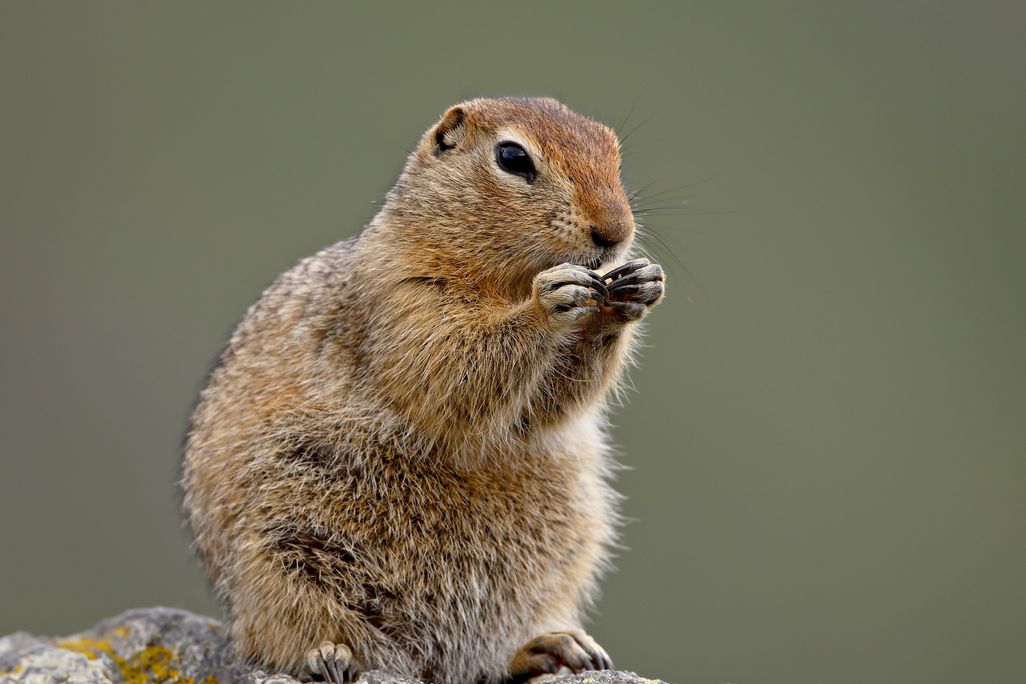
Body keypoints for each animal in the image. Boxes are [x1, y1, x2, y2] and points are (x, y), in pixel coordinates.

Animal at [181, 97, 665, 684]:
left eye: (614, 152)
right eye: (512, 157)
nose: (615, 231)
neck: (499, 276)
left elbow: (546, 406)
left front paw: (636, 288)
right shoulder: (400, 294)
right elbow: (446, 363)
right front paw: (550, 299)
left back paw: (552, 646)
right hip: (277, 554)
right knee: (288, 631)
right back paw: (330, 655)